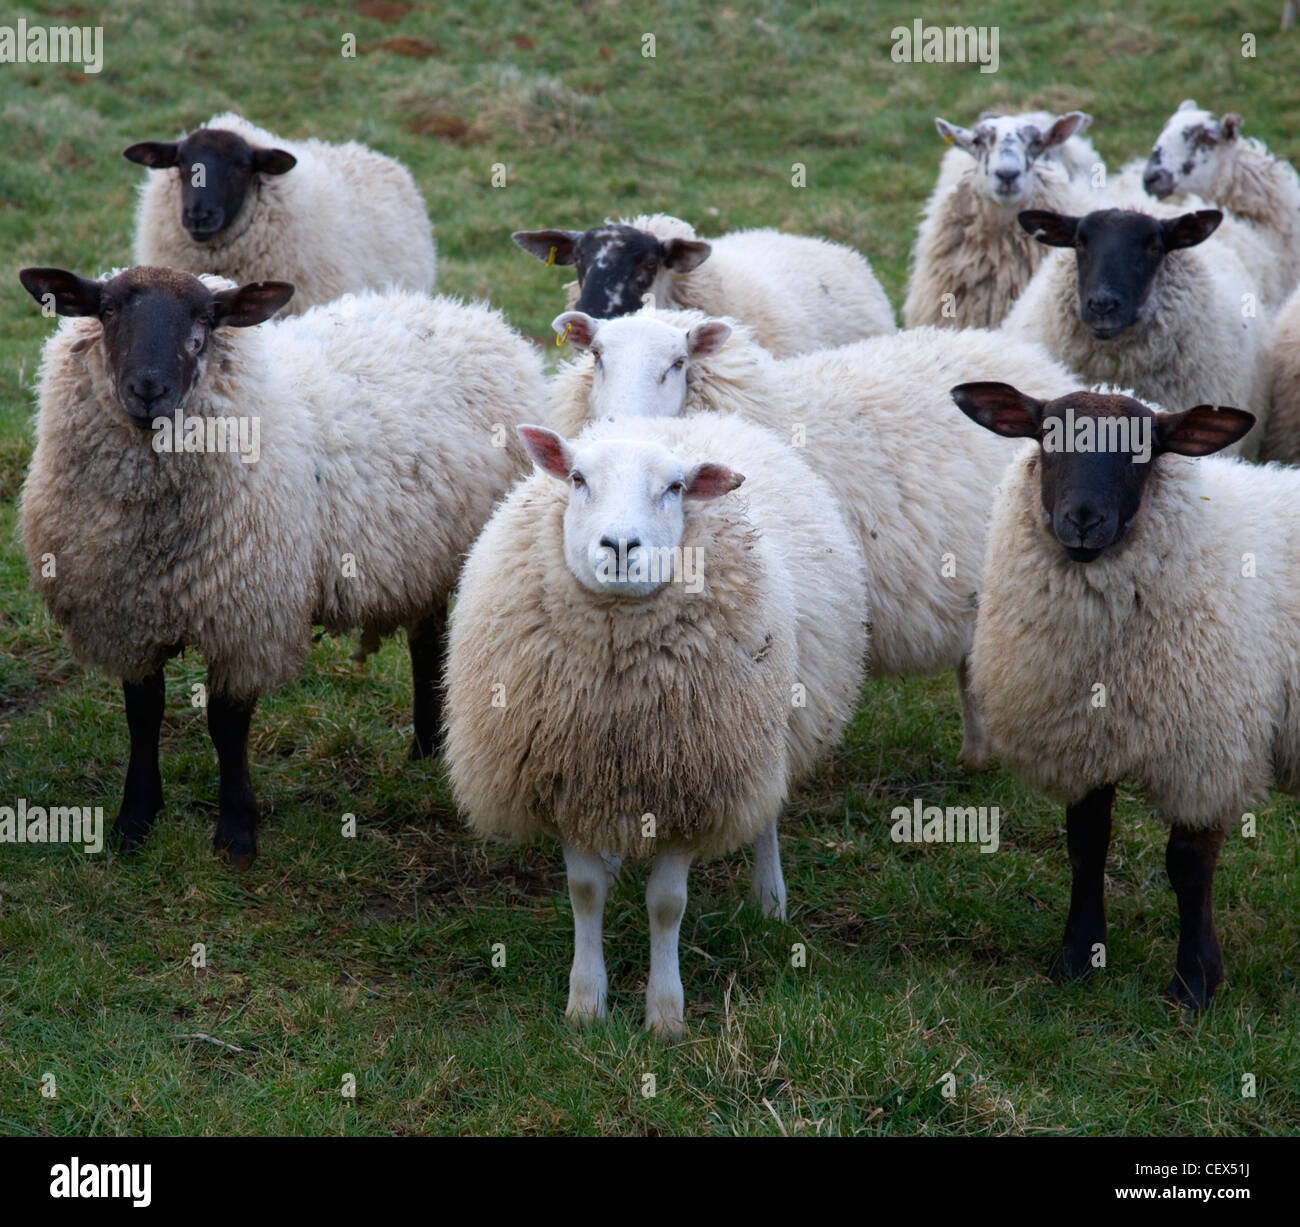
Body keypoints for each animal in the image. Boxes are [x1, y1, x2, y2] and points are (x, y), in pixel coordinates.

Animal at [17, 265, 544, 867]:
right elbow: (143, 714)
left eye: (205, 320)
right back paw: (425, 747)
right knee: (426, 635)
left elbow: (226, 726)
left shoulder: (247, 614)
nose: (149, 389)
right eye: (107, 311)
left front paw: (235, 834)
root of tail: (465, 310)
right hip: (421, 553)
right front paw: (135, 822)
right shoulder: (124, 612)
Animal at [444, 413, 869, 1034]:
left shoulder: (692, 790)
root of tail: (693, 419)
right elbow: (585, 892)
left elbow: (667, 905)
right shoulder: (569, 783)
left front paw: (665, 1013)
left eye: (674, 488)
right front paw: (585, 1004)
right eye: (577, 479)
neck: (620, 698)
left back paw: (770, 900)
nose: (620, 546)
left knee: (765, 814)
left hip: (763, 739)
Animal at [952, 380, 1281, 1009]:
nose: (1083, 519)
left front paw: (1195, 984)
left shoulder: (1207, 751)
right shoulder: (1085, 736)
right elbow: (1086, 845)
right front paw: (1078, 959)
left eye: (1143, 451)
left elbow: (1189, 868)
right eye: (1046, 437)